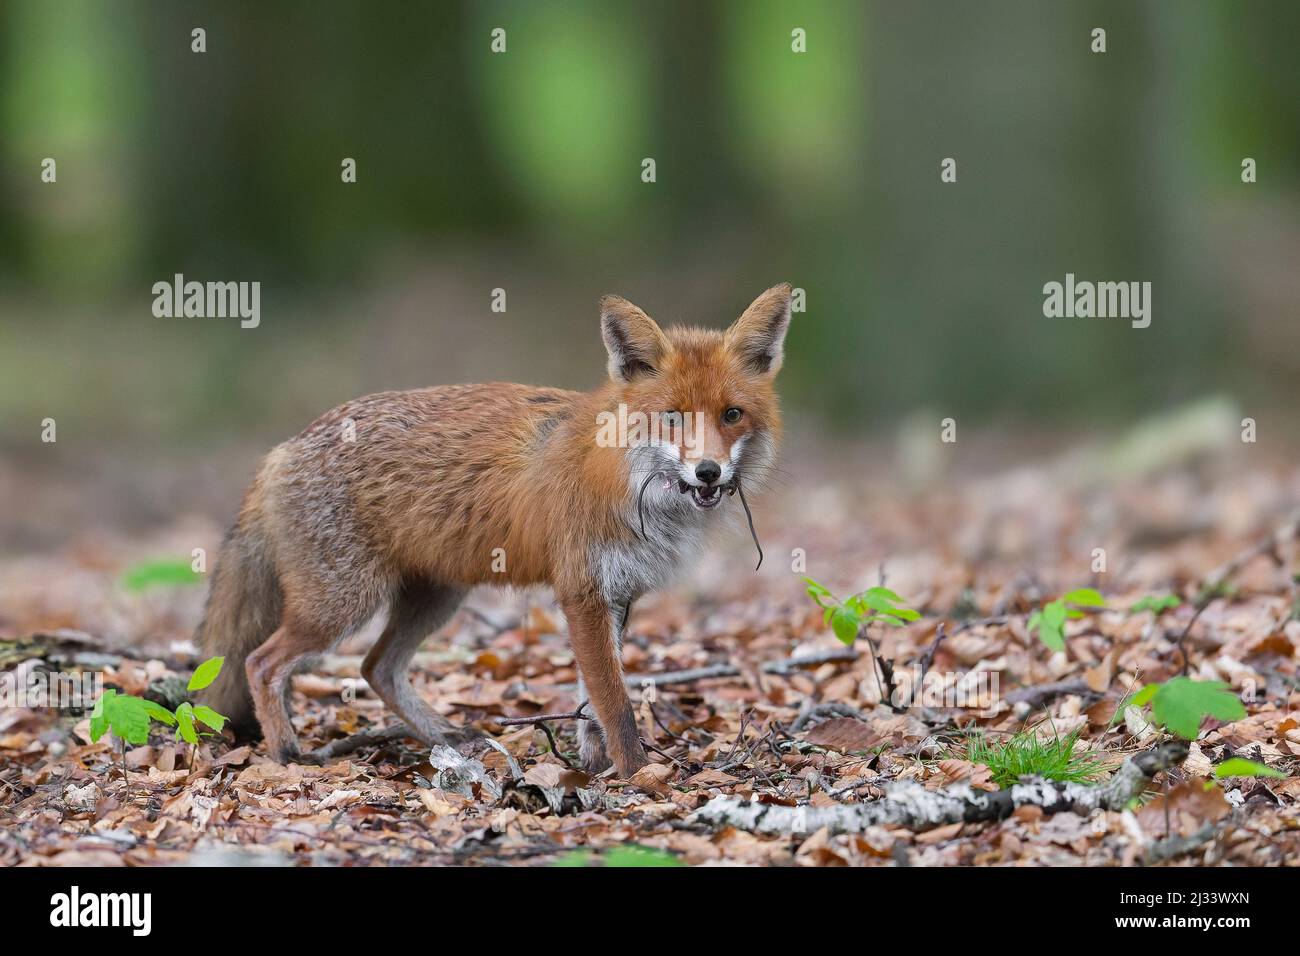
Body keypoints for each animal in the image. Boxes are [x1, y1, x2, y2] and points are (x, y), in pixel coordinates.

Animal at [196, 283, 792, 778]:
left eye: (732, 414)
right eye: (672, 417)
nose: (709, 472)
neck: (628, 478)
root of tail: (282, 449)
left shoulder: (619, 596)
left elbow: (591, 703)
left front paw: (594, 769)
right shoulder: (582, 591)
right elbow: (615, 703)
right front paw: (639, 777)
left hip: (435, 598)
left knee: (376, 668)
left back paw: (445, 738)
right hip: (343, 605)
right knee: (261, 663)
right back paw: (285, 753)